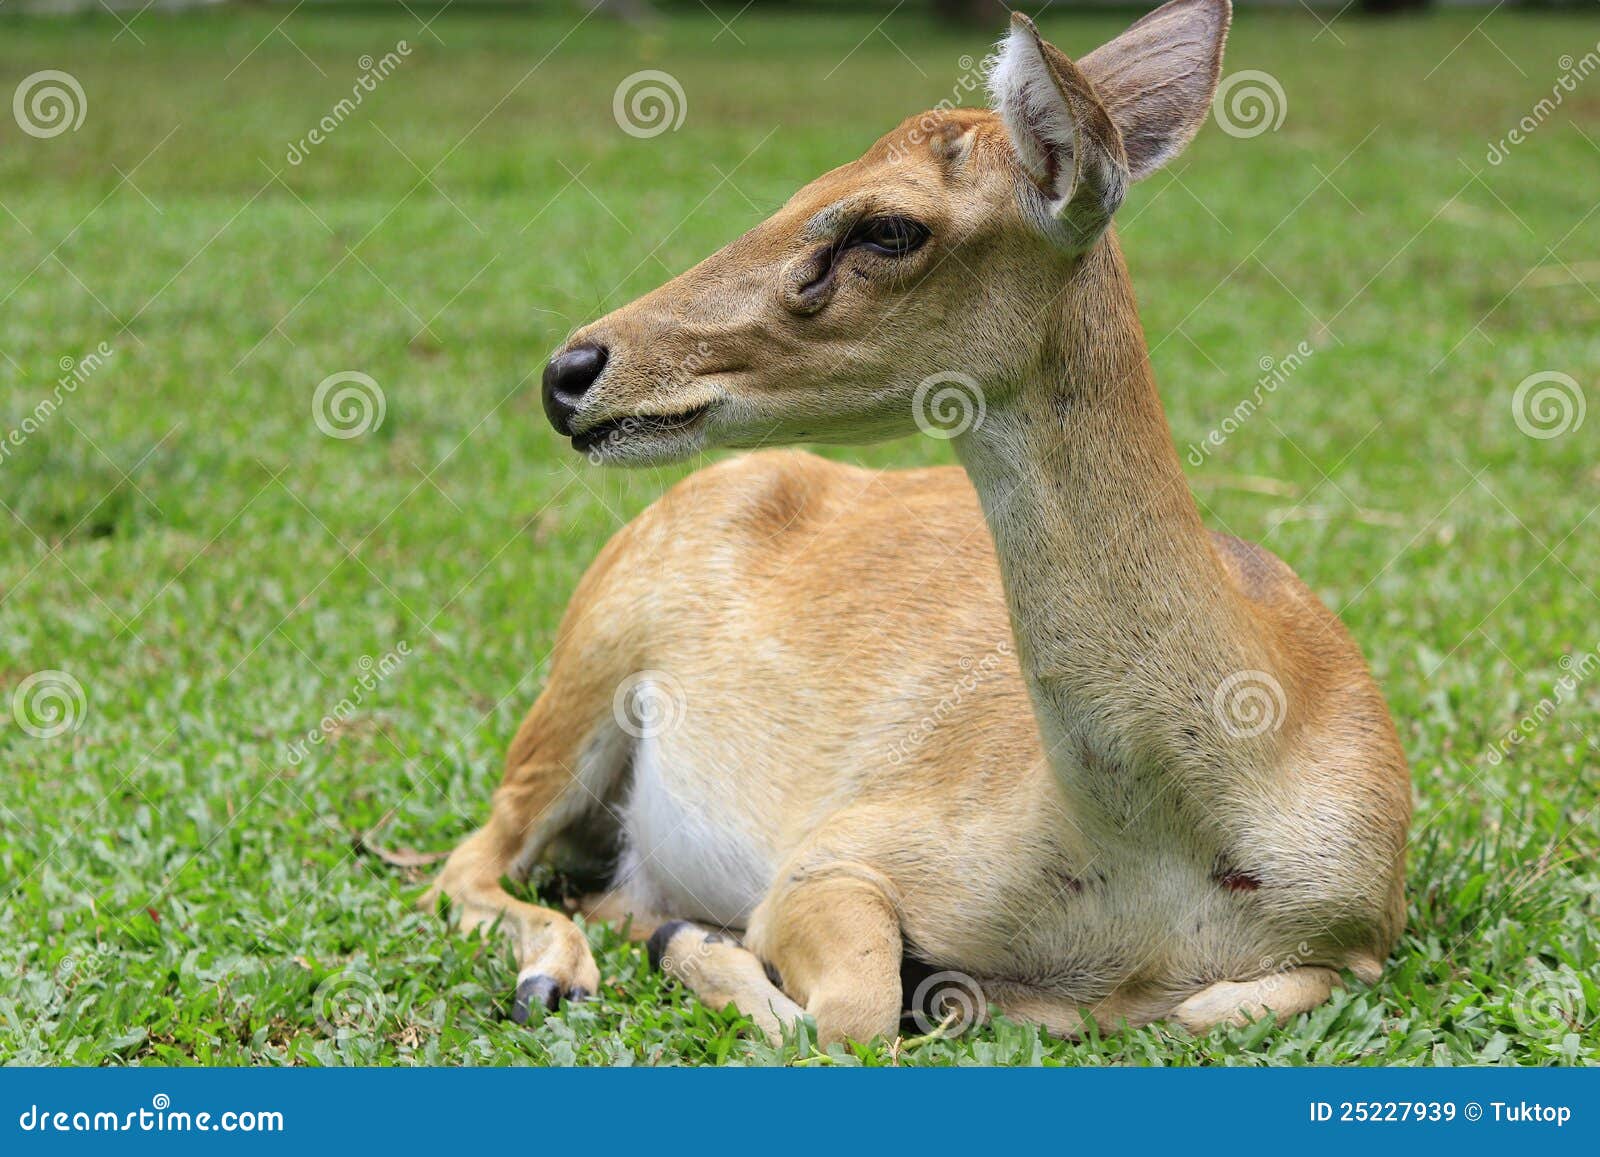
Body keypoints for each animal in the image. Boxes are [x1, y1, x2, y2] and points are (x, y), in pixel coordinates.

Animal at [423, 0, 1412, 1047]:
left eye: (888, 226)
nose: (569, 371)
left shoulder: (1362, 930)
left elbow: (1213, 1007)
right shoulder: (839, 847)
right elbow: (849, 1009)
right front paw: (719, 949)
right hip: (584, 671)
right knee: (471, 857)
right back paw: (562, 973)